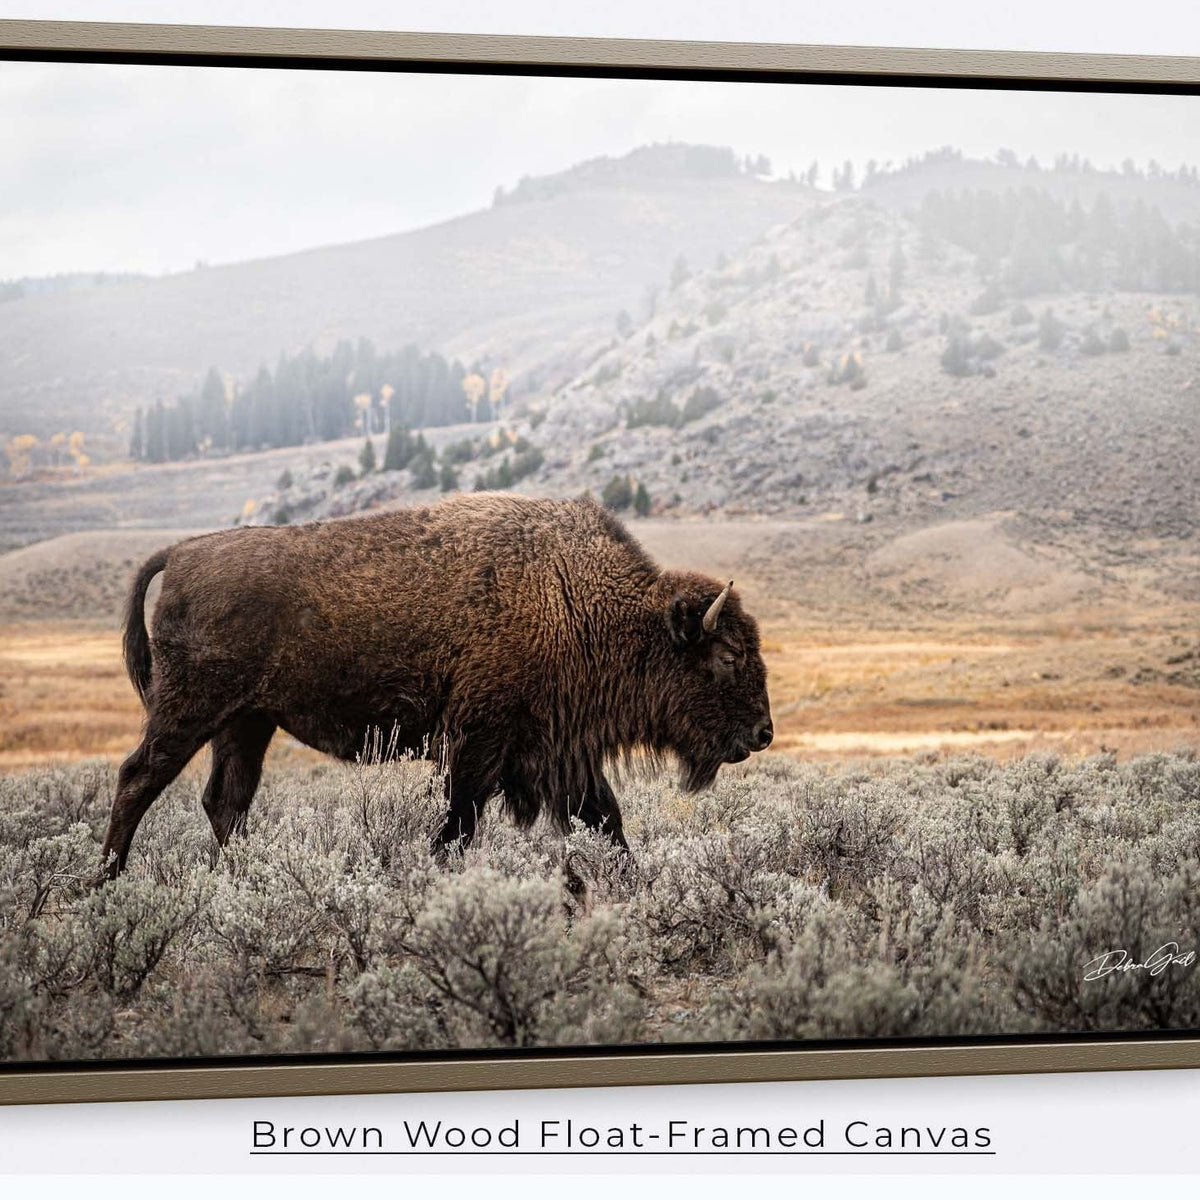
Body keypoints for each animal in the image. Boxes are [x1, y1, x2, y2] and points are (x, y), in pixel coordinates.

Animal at [97, 492, 773, 878]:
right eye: (729, 655)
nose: (764, 733)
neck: (576, 598)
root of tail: (181, 553)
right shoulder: (480, 742)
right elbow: (460, 821)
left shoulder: (562, 751)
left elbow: (606, 819)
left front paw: (632, 883)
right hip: (190, 710)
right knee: (139, 778)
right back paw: (107, 879)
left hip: (247, 721)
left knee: (225, 800)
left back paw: (243, 875)